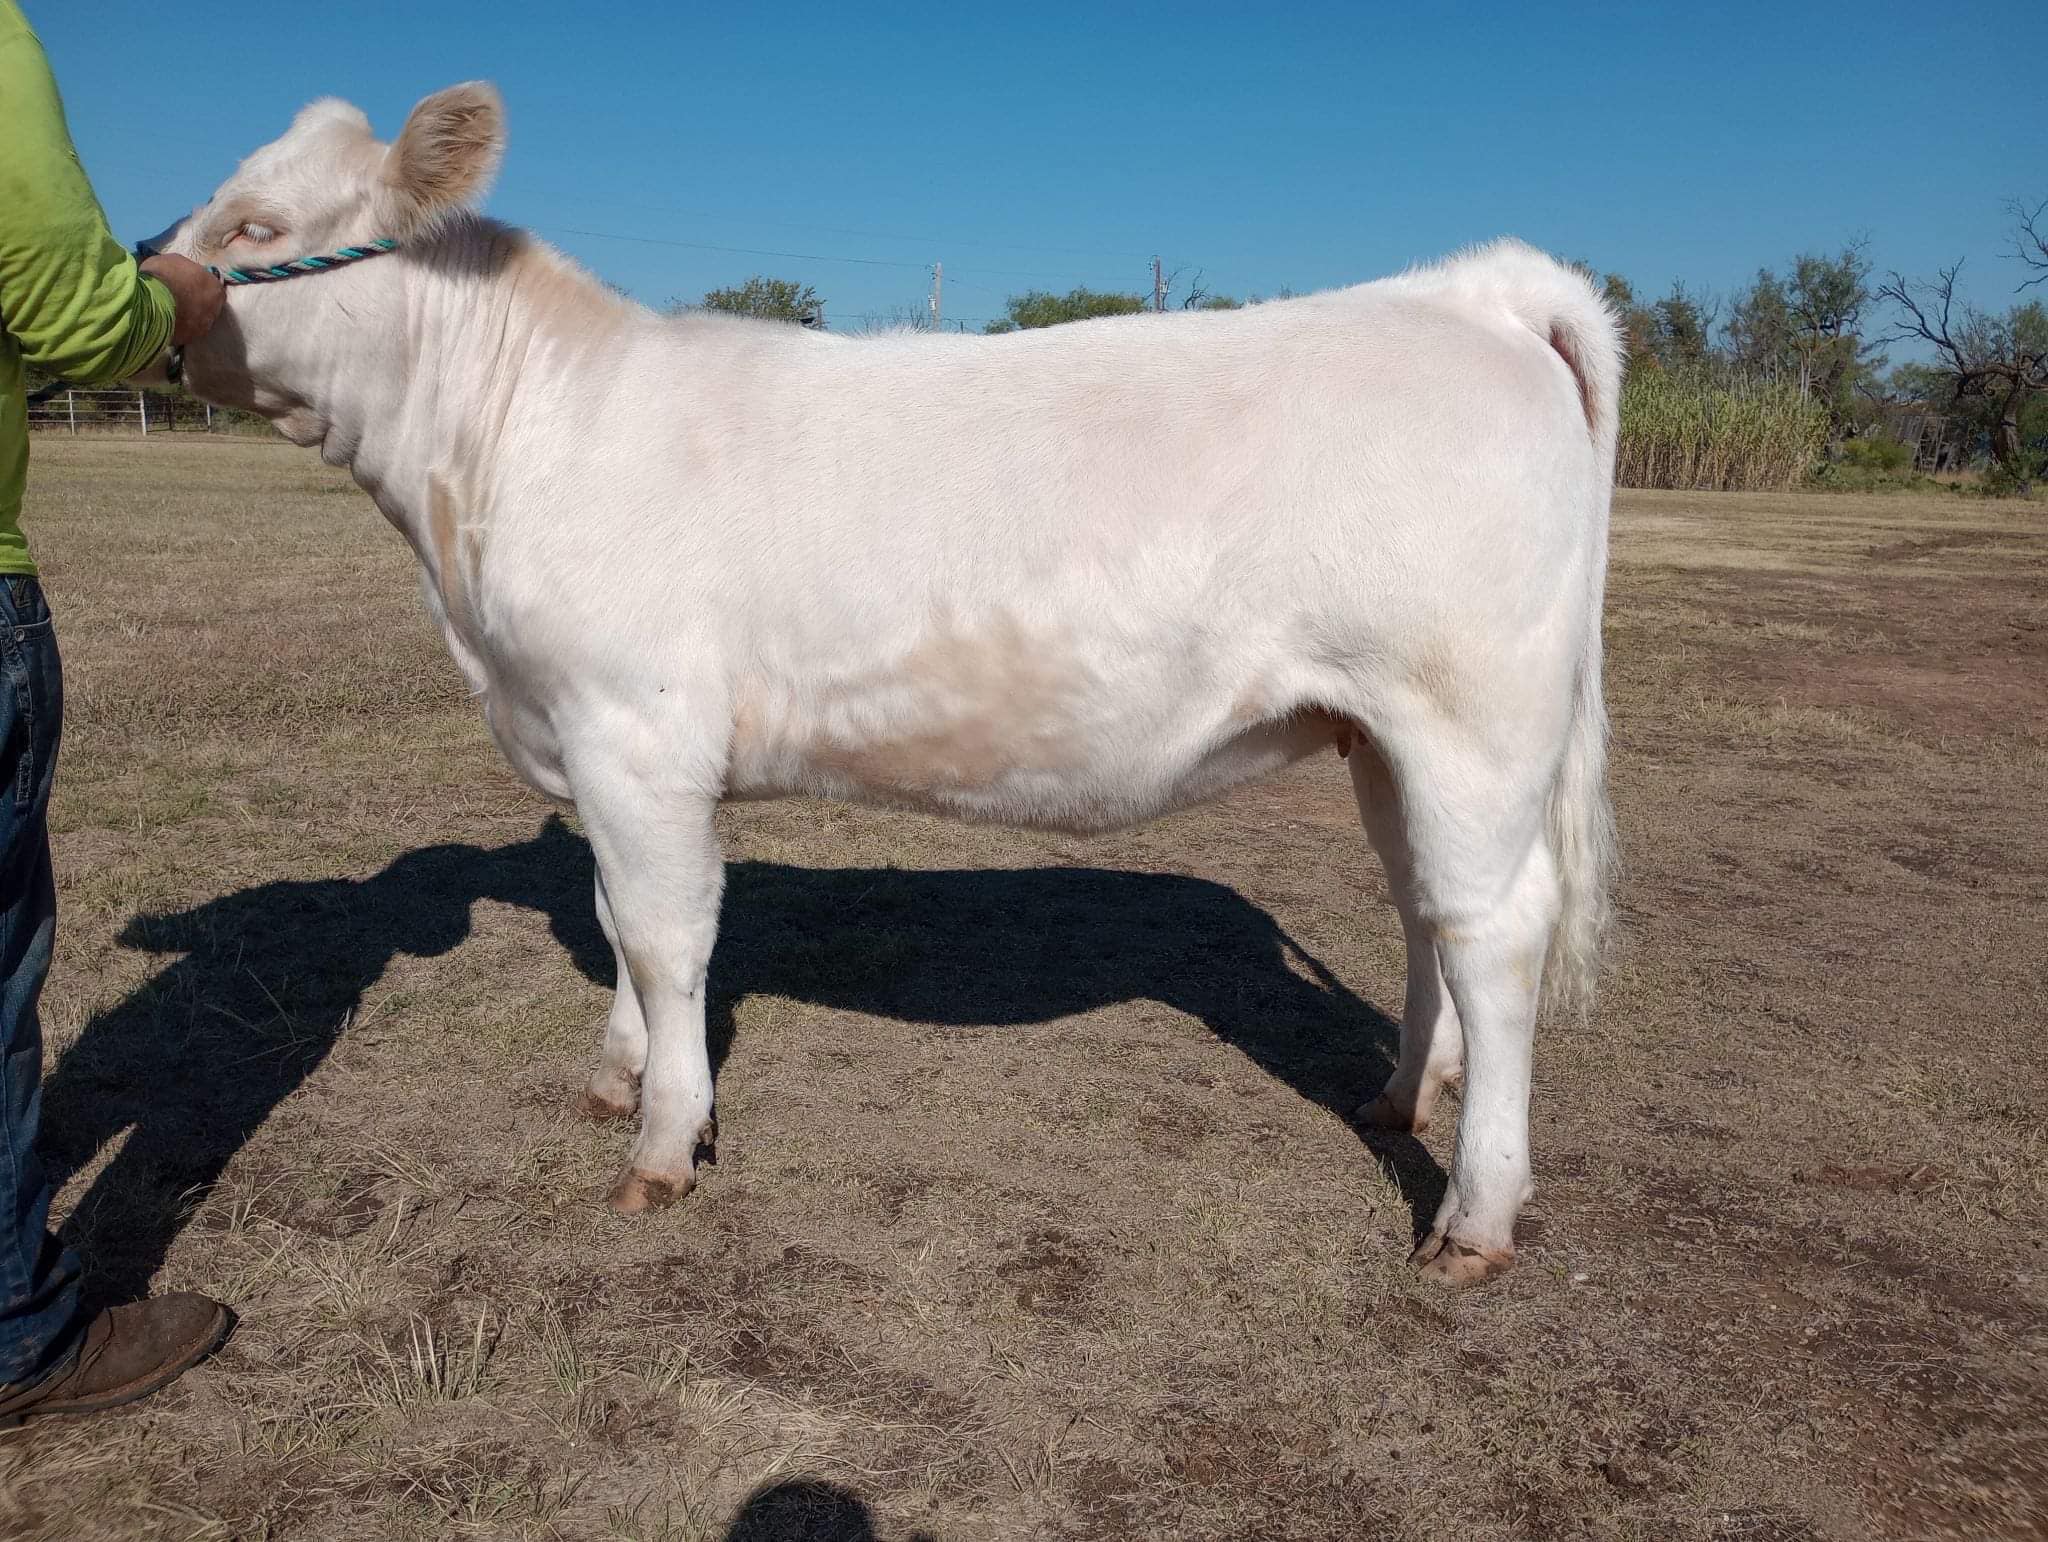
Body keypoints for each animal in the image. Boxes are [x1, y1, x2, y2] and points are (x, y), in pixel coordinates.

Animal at [142, 84, 1619, 1285]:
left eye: (260, 224)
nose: (153, 285)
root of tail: (1470, 293)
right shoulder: (580, 733)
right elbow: (616, 919)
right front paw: (619, 1078)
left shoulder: (636, 734)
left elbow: (666, 937)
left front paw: (664, 1143)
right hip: (1380, 735)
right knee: (1426, 909)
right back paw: (1397, 1095)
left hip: (1469, 716)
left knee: (1497, 933)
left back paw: (1473, 1217)